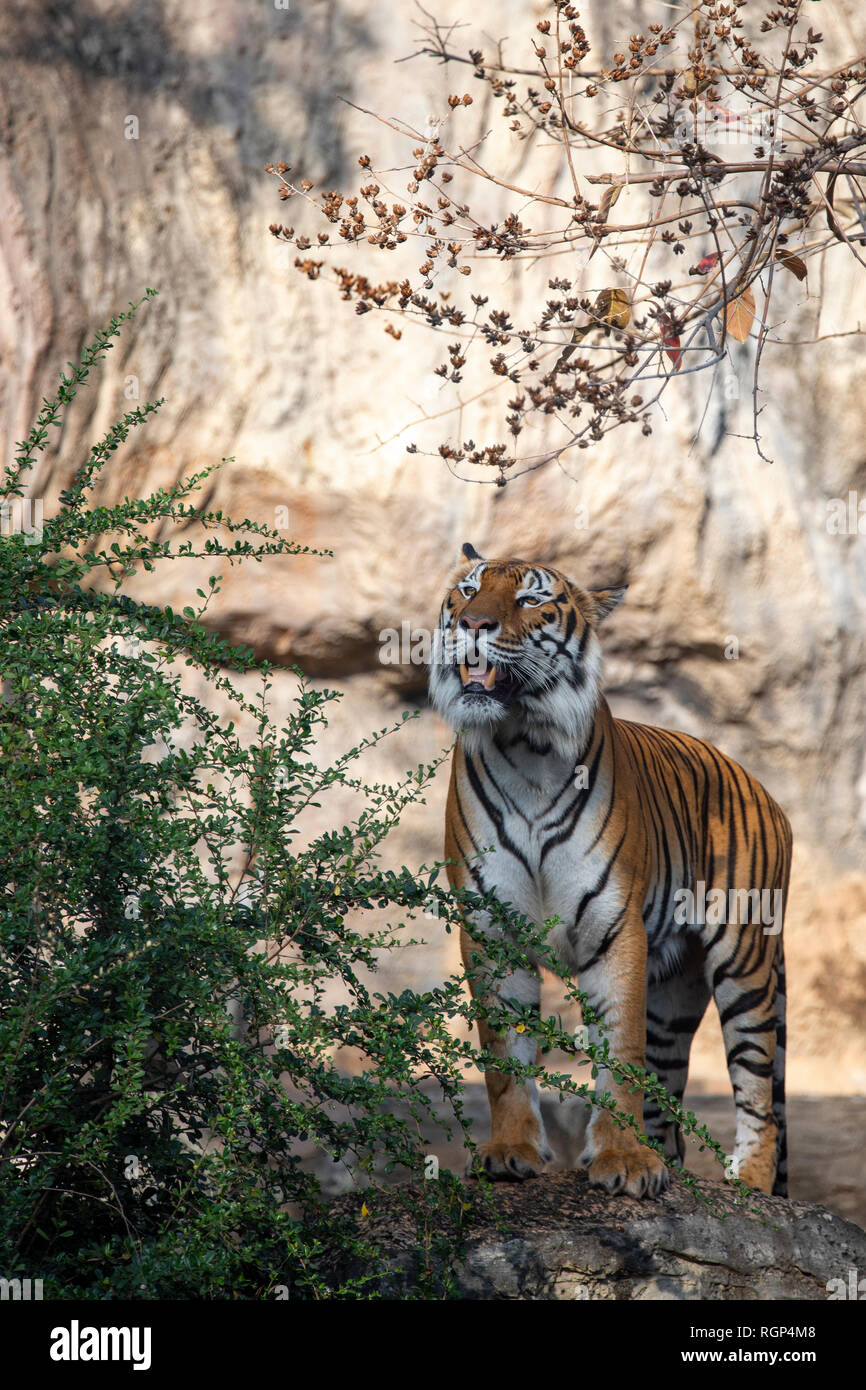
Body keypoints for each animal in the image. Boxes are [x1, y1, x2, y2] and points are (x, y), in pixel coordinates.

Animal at [428, 543, 792, 1198]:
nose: (472, 624)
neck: (525, 744)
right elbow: (503, 1058)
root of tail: (761, 787)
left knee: (757, 1090)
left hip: (745, 961)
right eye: (468, 591)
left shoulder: (614, 927)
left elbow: (620, 1055)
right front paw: (510, 1151)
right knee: (669, 1103)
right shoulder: (493, 929)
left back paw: (747, 1184)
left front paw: (622, 1160)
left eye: (530, 599)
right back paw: (671, 1166)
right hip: (672, 995)